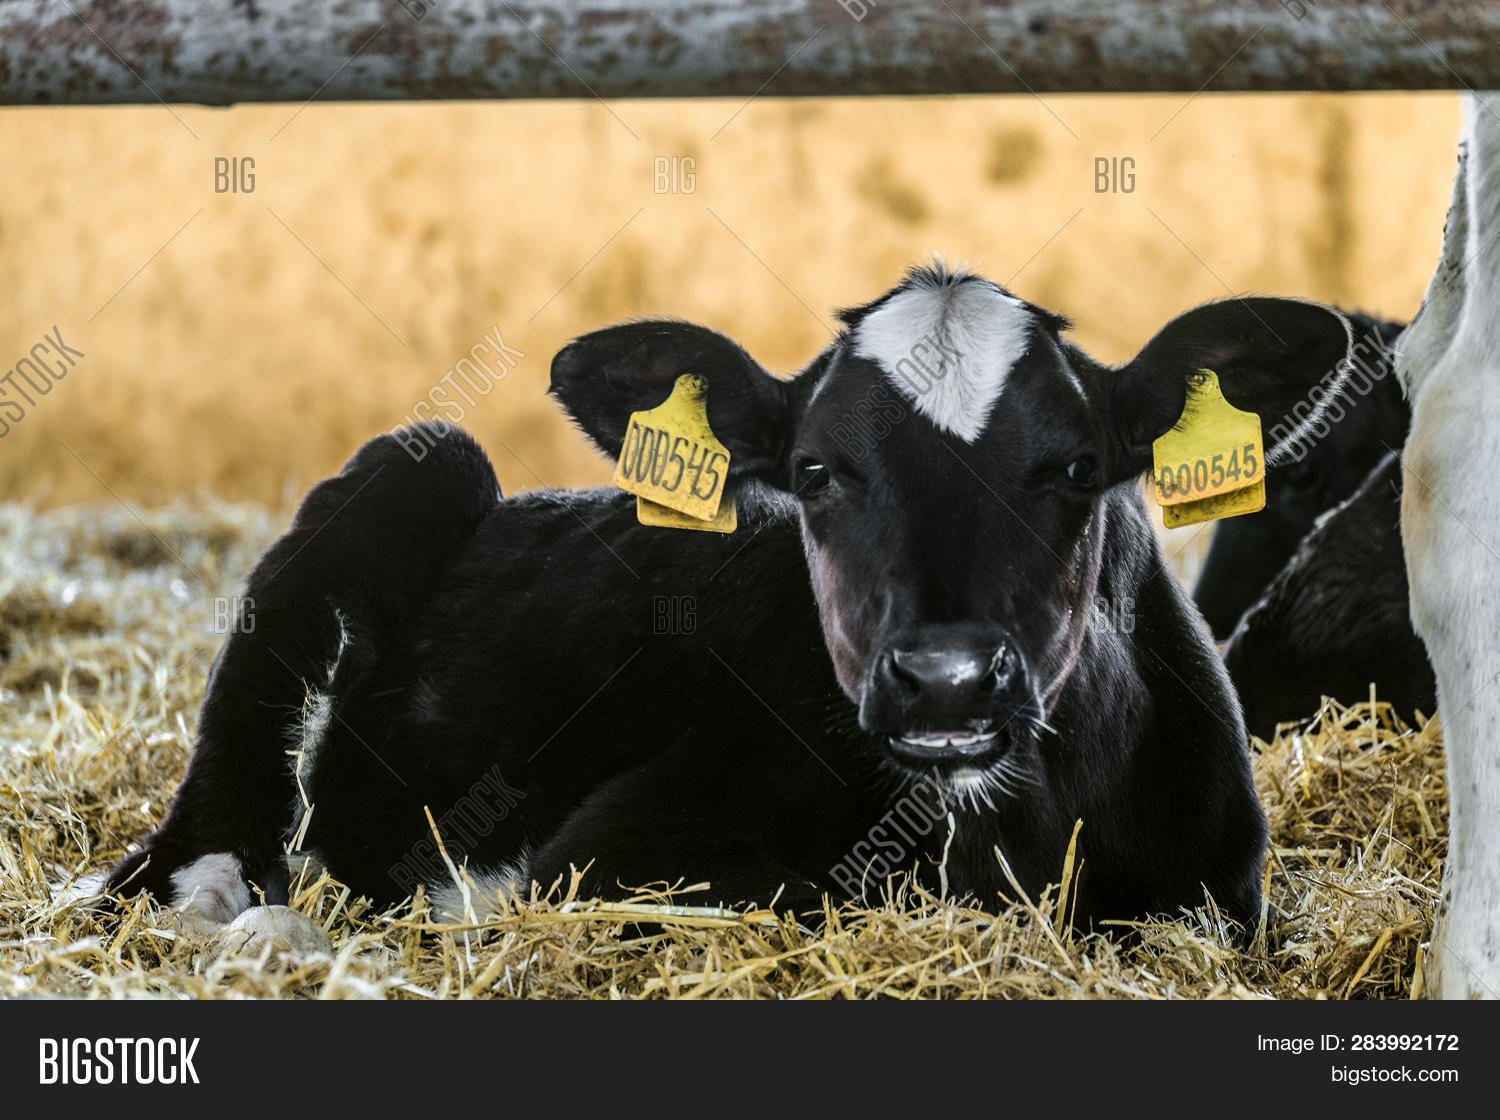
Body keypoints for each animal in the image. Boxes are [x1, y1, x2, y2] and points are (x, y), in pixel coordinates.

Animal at [106, 265, 1358, 940]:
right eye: (815, 471)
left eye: (1076, 466)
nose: (945, 678)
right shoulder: (611, 855)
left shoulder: (1228, 891)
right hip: (416, 460)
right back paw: (207, 889)